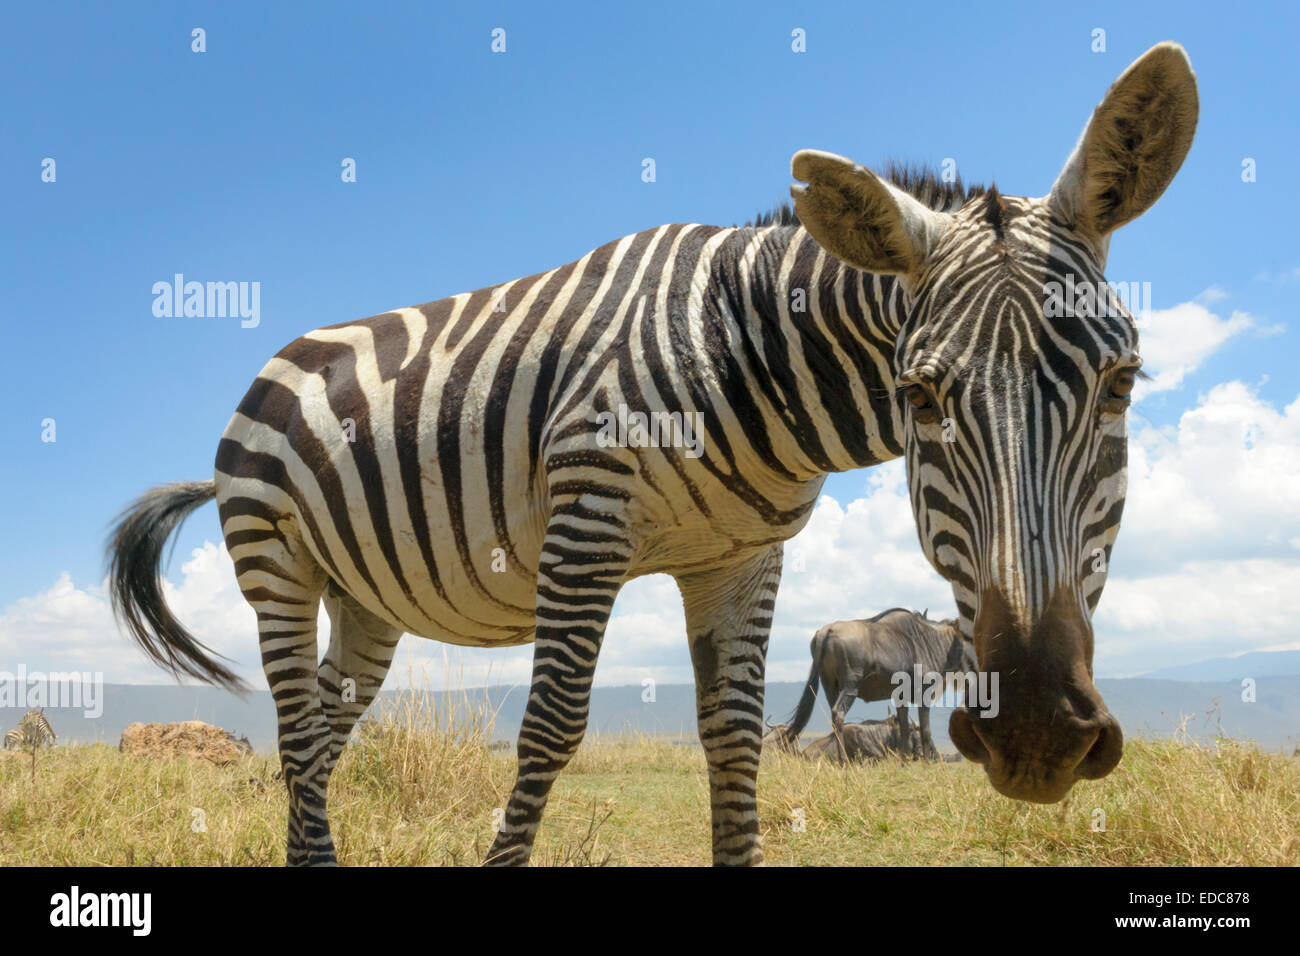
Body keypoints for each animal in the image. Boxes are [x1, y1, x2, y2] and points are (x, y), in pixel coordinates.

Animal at [107, 43, 1197, 865]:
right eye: (921, 396)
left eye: (1122, 382)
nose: (1038, 734)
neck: (743, 349)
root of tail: (278, 357)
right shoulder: (587, 520)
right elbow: (551, 726)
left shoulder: (740, 557)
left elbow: (734, 742)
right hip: (277, 563)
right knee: (298, 733)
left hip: (366, 598)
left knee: (325, 735)